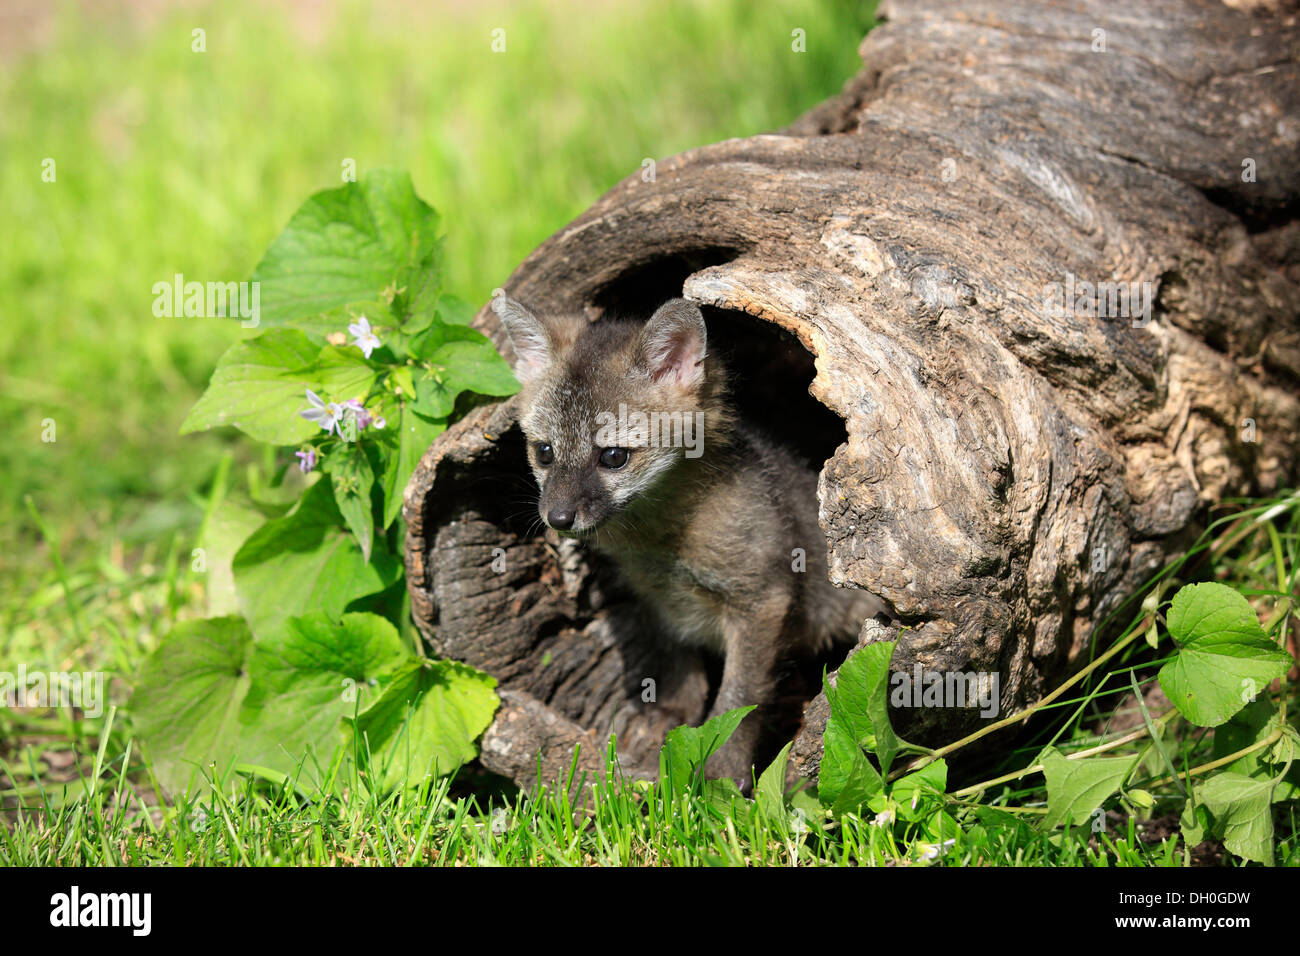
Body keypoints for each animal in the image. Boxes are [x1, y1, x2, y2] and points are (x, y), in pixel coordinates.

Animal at [492, 293, 888, 788]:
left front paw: (722, 769)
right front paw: (667, 717)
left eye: (613, 457)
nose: (558, 518)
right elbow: (677, 666)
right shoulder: (659, 600)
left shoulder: (762, 600)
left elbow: (739, 697)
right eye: (544, 452)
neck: (666, 543)